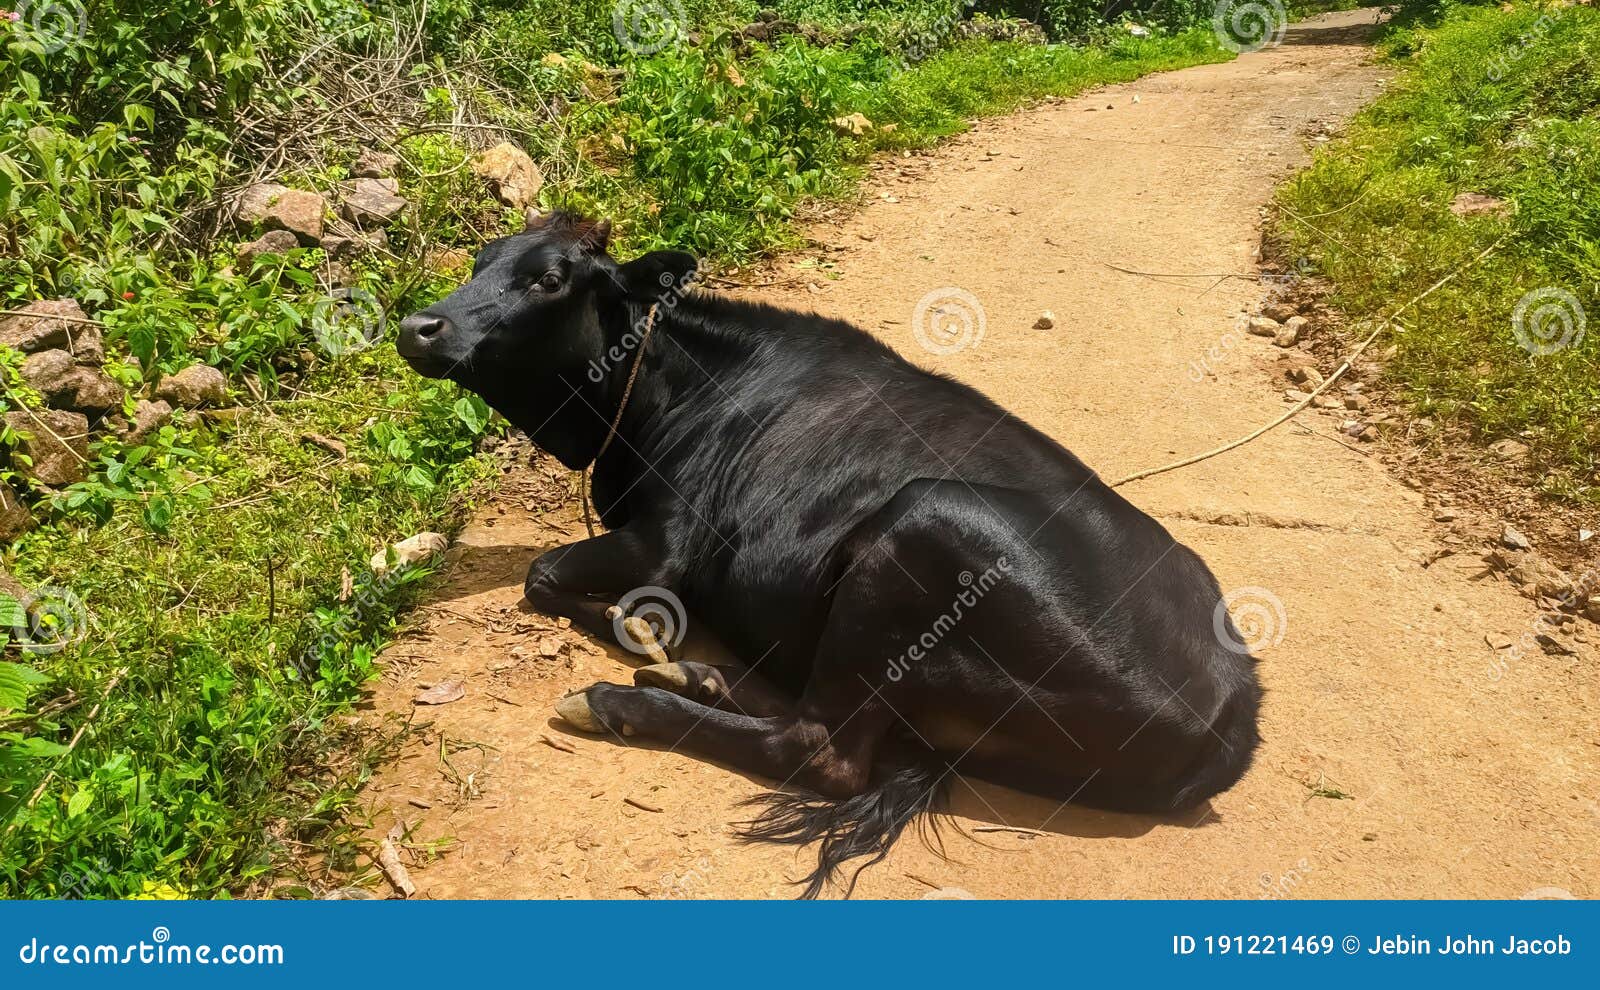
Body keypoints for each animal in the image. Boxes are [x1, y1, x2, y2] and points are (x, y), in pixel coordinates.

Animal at [396, 211, 1261, 897]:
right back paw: (697, 678)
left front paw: (641, 636)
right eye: (479, 260)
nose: (417, 326)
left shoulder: (665, 545)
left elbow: (543, 576)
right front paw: (662, 646)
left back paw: (621, 702)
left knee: (820, 750)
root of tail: (1235, 707)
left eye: (548, 279)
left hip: (921, 525)